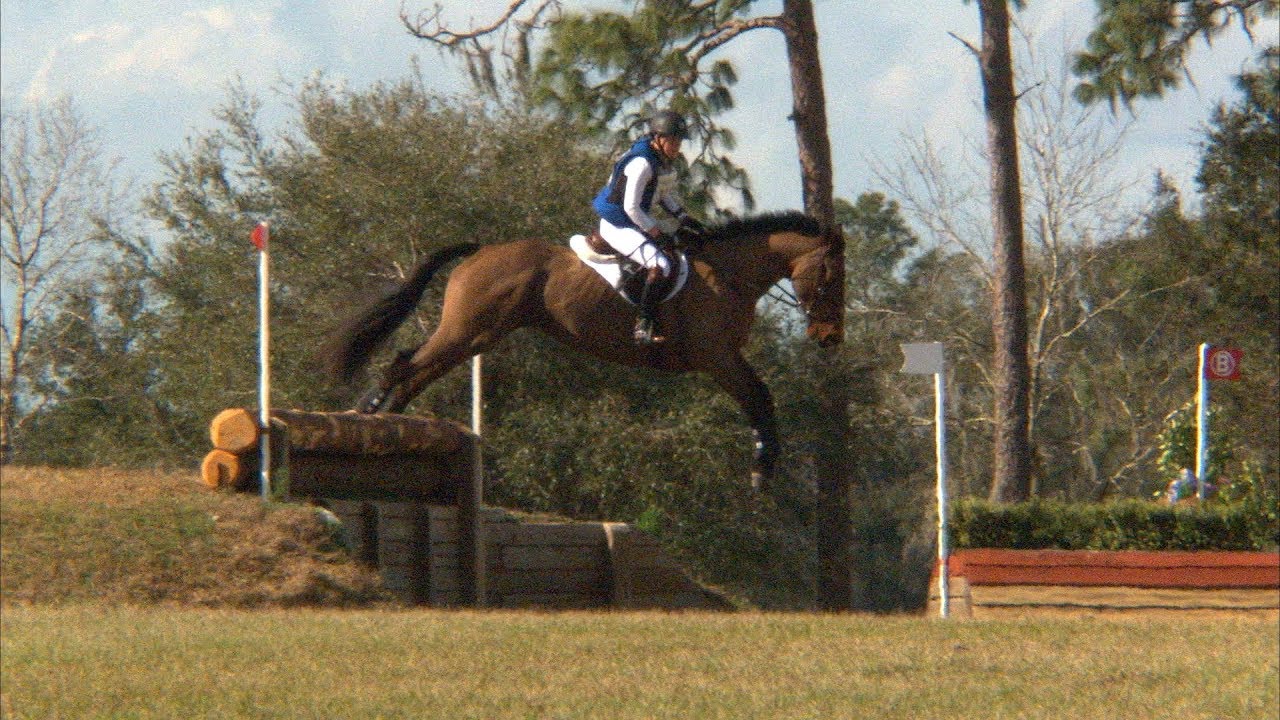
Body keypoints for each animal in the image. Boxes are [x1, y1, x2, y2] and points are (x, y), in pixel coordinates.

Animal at [328, 211, 845, 489]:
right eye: (829, 277)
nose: (829, 338)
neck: (730, 275)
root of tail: (479, 251)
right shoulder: (716, 358)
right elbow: (759, 398)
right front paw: (763, 468)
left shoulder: (724, 359)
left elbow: (761, 398)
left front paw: (764, 466)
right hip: (467, 331)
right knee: (406, 366)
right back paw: (374, 413)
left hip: (475, 336)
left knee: (415, 370)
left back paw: (384, 417)